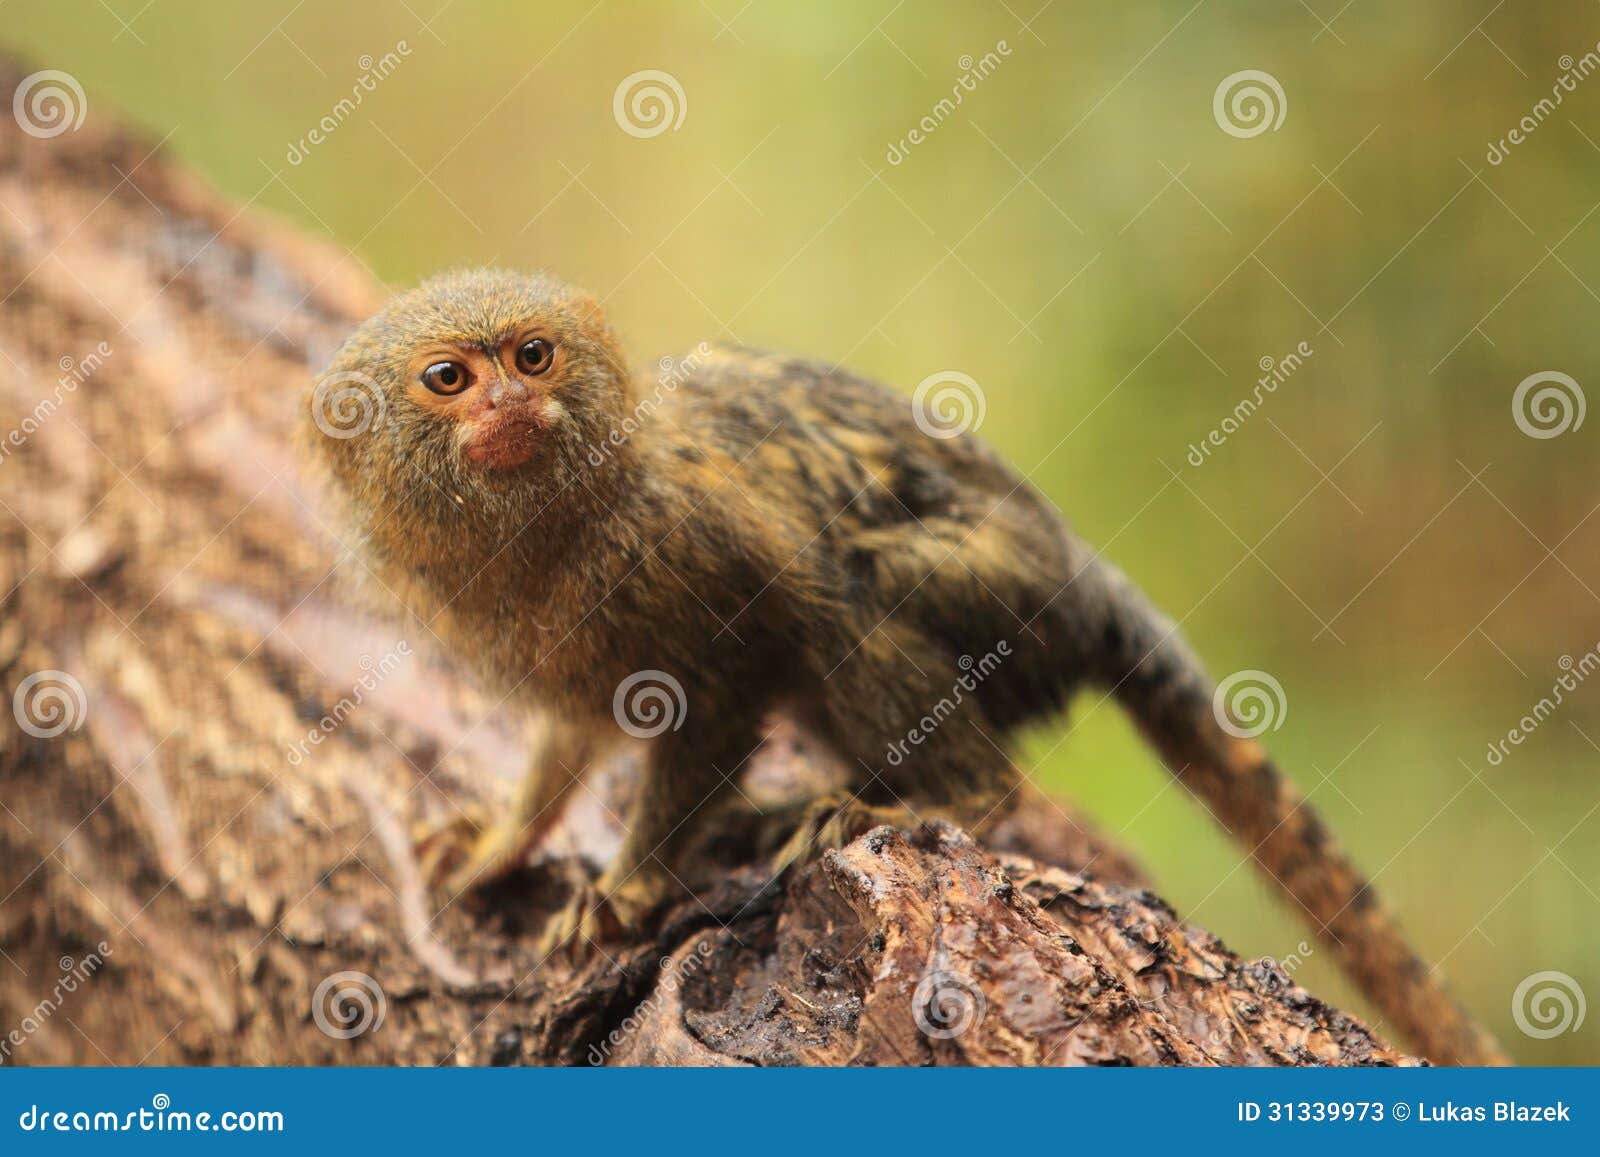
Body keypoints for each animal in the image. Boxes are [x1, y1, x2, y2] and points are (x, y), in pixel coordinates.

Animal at [302, 267, 1505, 1066]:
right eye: (449, 377)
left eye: (532, 356)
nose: (511, 402)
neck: (540, 530)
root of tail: (1080, 574)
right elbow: (565, 739)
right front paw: (505, 839)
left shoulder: (694, 560)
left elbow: (723, 687)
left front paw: (628, 886)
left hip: (1001, 599)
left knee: (854, 596)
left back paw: (932, 796)